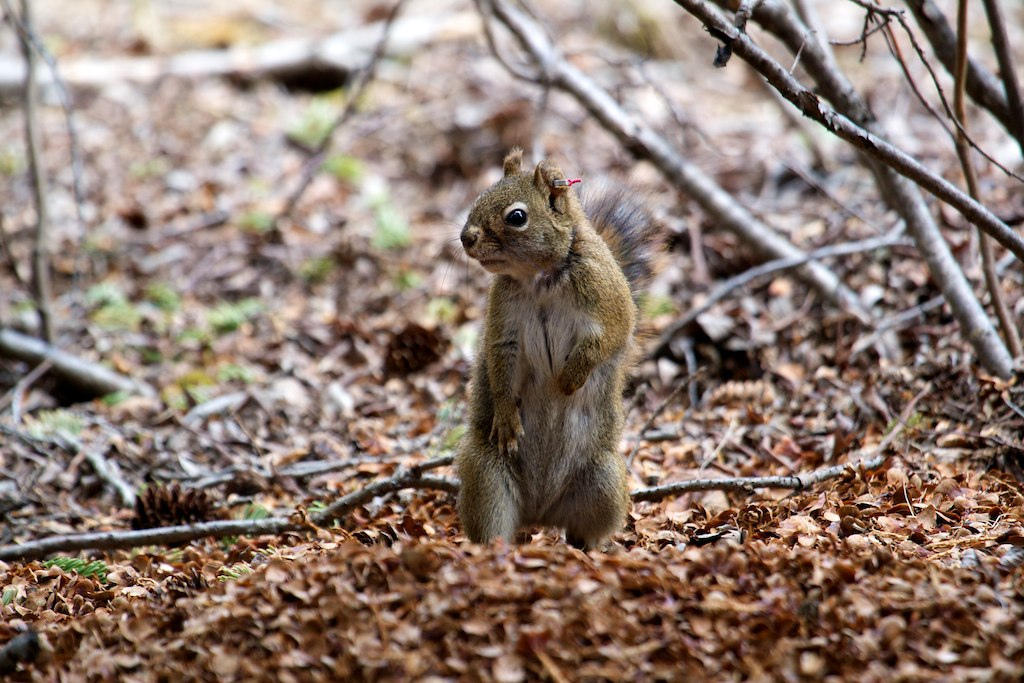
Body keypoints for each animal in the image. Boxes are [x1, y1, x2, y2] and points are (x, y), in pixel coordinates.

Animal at [455, 148, 656, 550]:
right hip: (486, 476)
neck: (541, 278)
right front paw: (507, 416)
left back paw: (590, 550)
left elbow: (605, 340)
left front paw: (567, 381)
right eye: (482, 194)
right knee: (492, 524)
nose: (466, 238)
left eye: (517, 217)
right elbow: (500, 363)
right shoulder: (504, 322)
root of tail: (540, 514)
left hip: (603, 482)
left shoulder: (608, 300)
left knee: (585, 531)